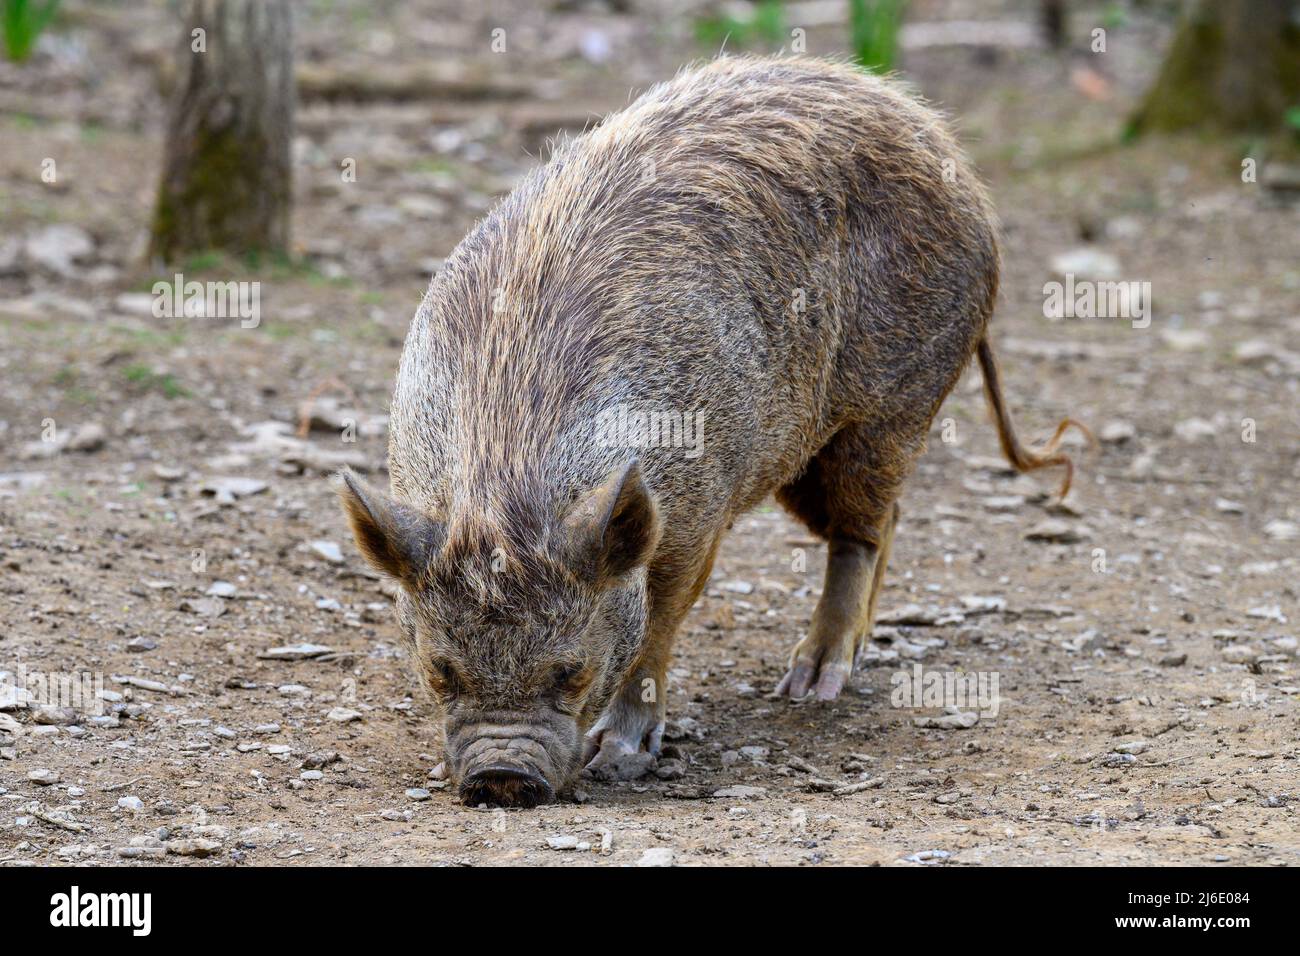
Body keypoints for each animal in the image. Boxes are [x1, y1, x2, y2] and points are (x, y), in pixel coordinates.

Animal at [337, 55, 1087, 807]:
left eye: (571, 670)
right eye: (440, 669)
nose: (501, 777)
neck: (508, 475)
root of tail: (948, 149)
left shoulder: (697, 516)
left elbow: (660, 626)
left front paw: (621, 759)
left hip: (894, 406)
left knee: (864, 531)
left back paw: (811, 687)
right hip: (804, 462)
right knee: (889, 518)